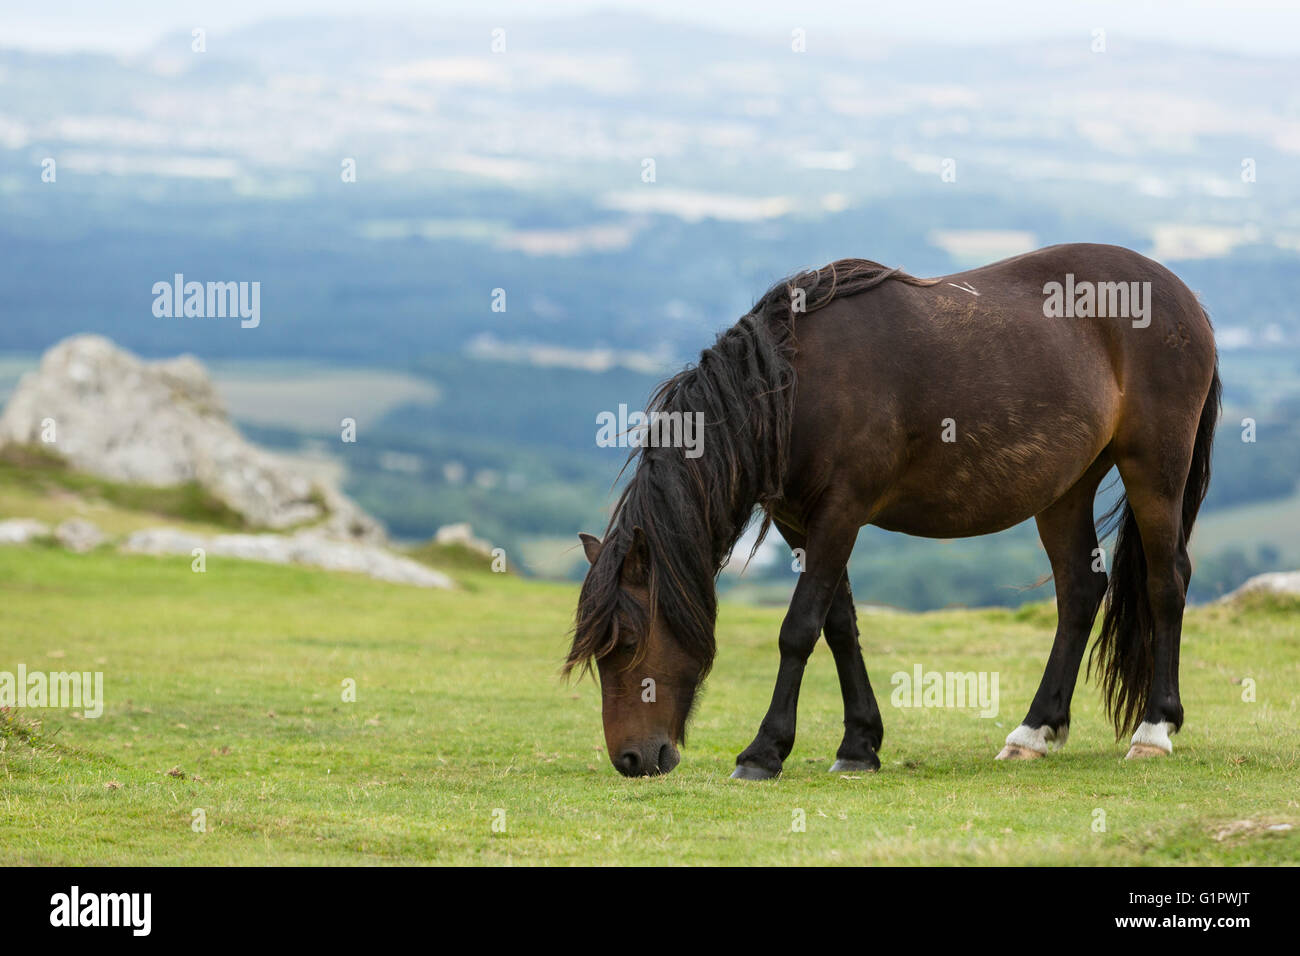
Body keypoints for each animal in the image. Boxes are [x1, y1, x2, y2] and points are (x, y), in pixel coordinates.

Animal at [568, 243, 1221, 779]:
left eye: (627, 641)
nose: (631, 760)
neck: (792, 389)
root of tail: (1185, 297)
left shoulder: (841, 513)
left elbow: (799, 629)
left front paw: (764, 752)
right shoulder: (801, 521)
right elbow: (839, 628)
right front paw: (859, 746)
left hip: (1155, 470)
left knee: (1166, 583)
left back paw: (1154, 729)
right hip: (1065, 489)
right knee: (1081, 592)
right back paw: (1034, 732)